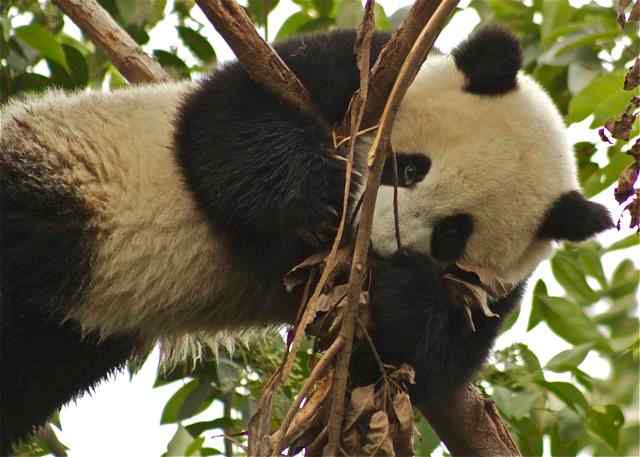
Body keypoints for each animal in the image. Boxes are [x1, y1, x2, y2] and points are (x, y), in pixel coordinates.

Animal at [0, 26, 612, 453]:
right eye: (410, 168)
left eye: (451, 236)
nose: (374, 244)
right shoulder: (367, 68)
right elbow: (225, 121)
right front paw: (315, 191)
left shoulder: (499, 288)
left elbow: (423, 363)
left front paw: (401, 296)